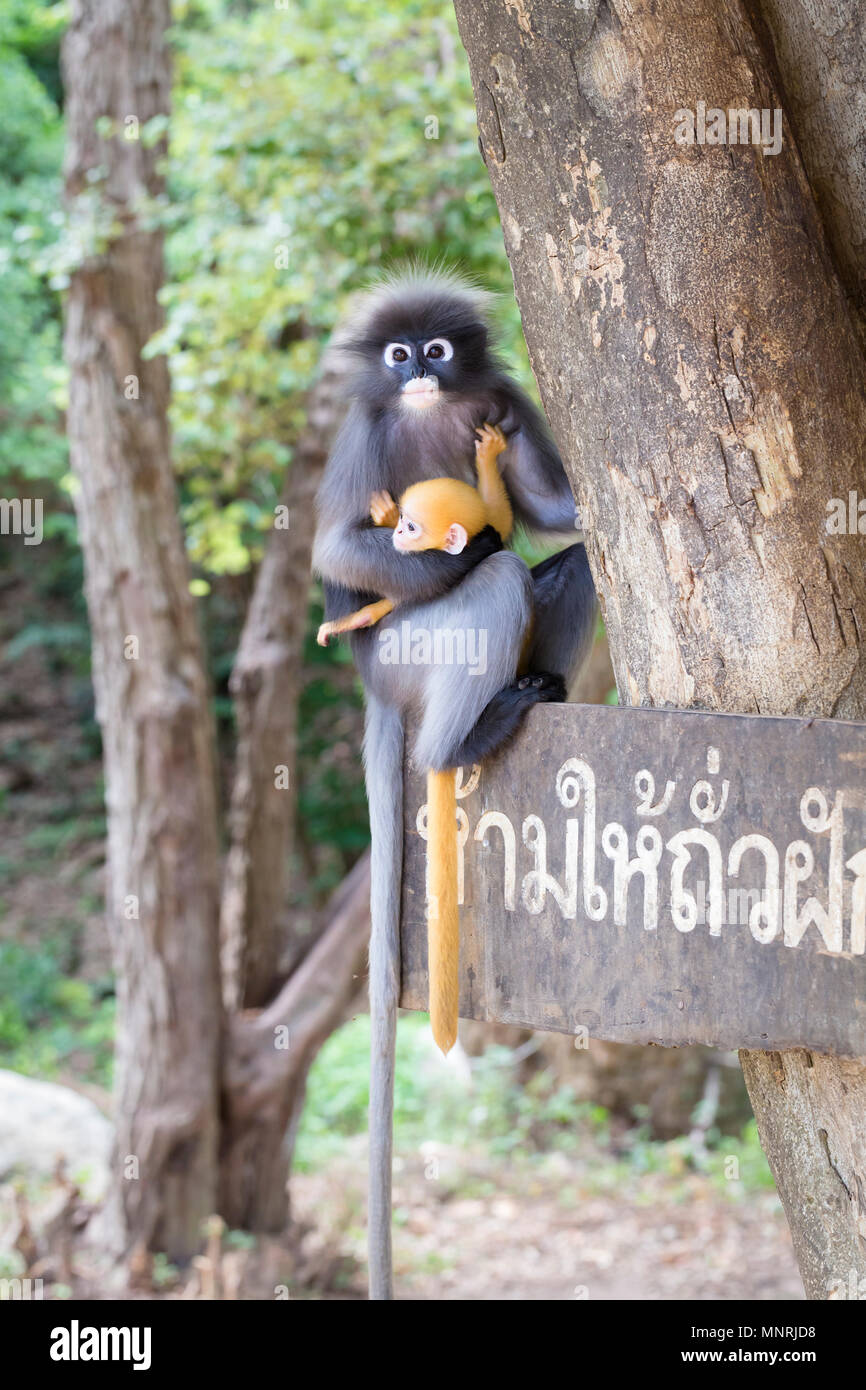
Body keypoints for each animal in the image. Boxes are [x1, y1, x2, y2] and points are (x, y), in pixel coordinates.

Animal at [312, 269, 597, 1299]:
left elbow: (560, 518)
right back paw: (464, 732)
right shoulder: (365, 432)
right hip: (415, 645)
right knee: (500, 579)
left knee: (564, 566)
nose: (421, 373)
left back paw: (543, 686)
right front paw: (462, 535)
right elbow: (336, 550)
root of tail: (376, 685)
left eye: (437, 350)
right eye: (398, 356)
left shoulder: (503, 401)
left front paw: (499, 467)